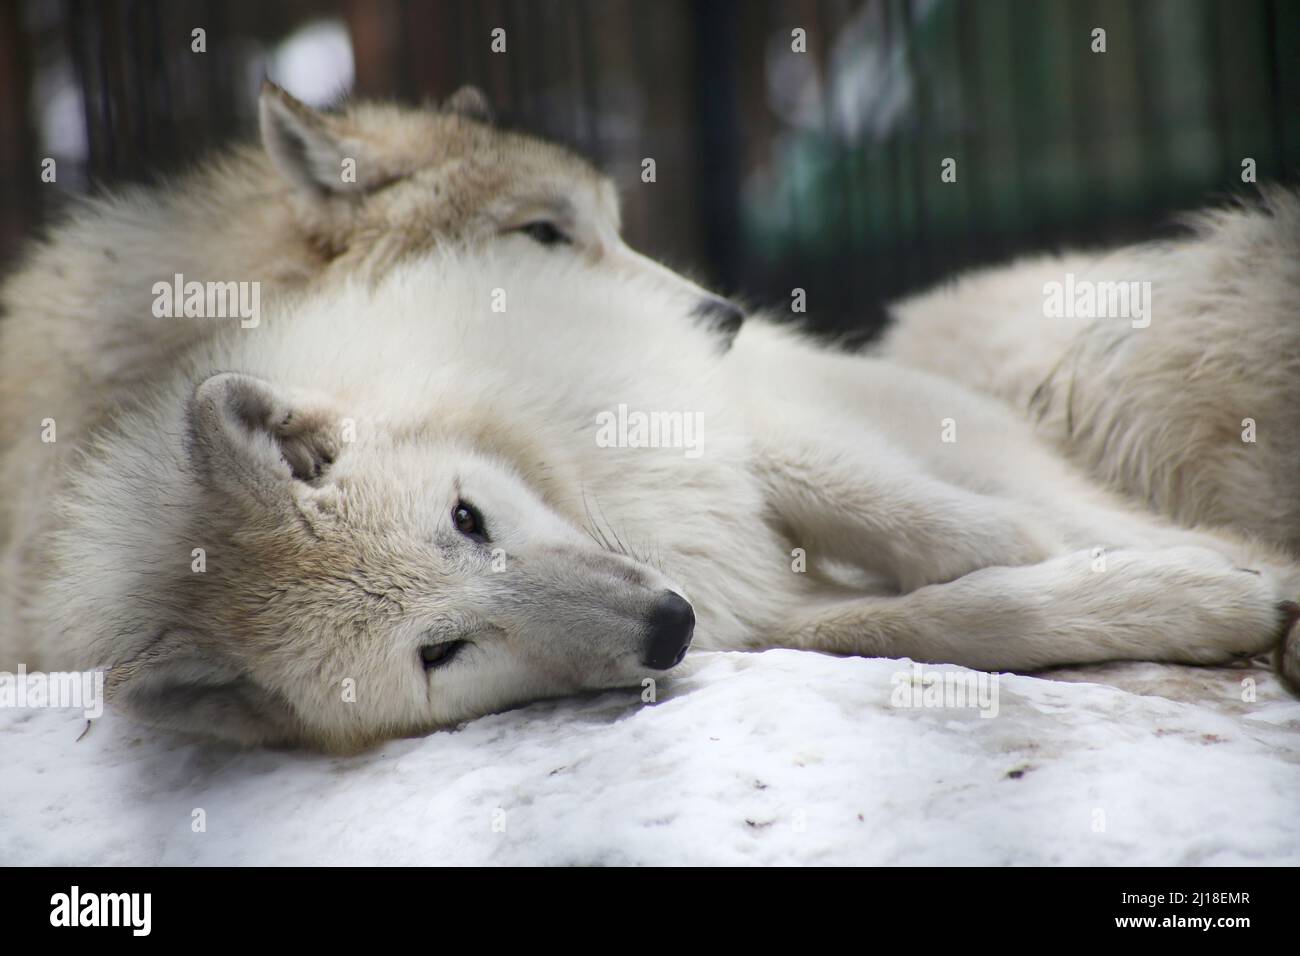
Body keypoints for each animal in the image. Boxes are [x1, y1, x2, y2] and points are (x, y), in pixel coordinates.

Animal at [8, 241, 1299, 751]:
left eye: (468, 516)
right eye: (442, 651)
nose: (666, 624)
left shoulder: (715, 438)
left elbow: (915, 521)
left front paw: (1020, 547)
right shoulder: (763, 611)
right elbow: (958, 618)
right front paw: (1181, 605)